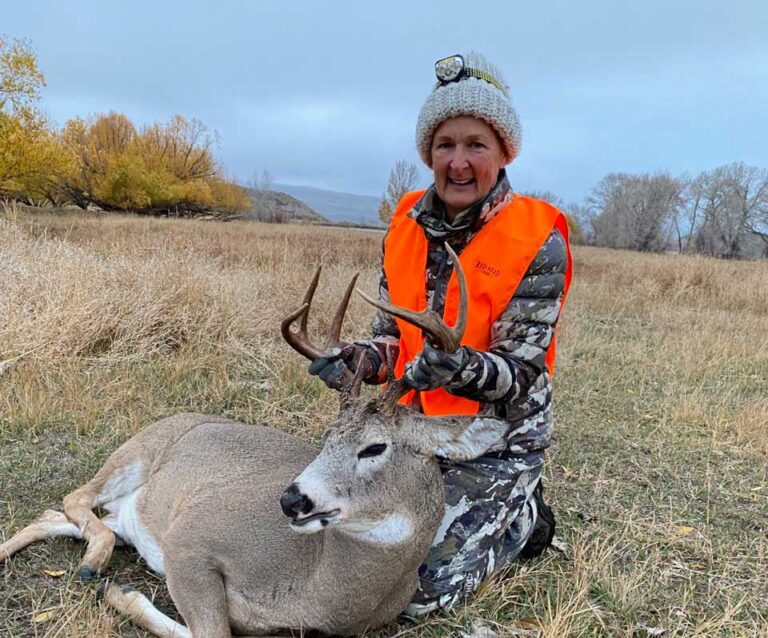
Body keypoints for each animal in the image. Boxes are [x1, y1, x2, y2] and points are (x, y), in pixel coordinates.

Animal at [0, 245, 509, 637]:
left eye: (374, 447)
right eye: (326, 437)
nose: (291, 499)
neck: (320, 582)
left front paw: (118, 591)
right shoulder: (192, 538)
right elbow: (211, 632)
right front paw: (121, 593)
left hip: (124, 506)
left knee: (56, 517)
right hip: (135, 454)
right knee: (76, 497)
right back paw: (95, 563)